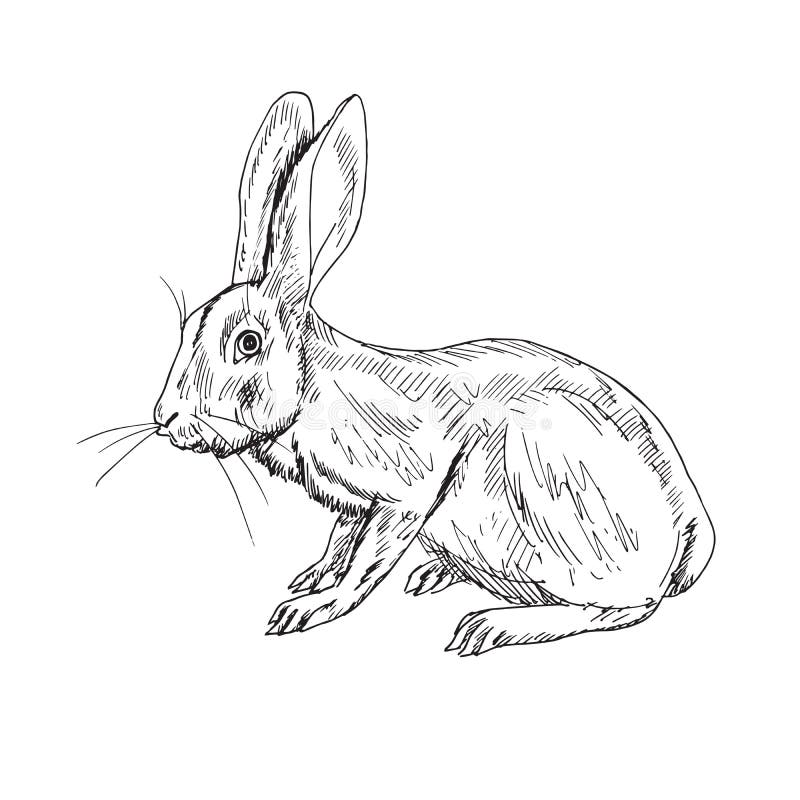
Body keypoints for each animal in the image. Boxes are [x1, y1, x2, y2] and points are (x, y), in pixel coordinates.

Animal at [153, 92, 714, 655]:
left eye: (247, 343)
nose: (166, 419)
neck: (313, 387)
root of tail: (686, 539)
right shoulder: (353, 508)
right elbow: (341, 545)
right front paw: (310, 578)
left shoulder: (404, 494)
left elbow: (366, 563)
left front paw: (308, 609)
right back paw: (436, 574)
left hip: (551, 487)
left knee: (623, 608)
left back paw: (490, 626)